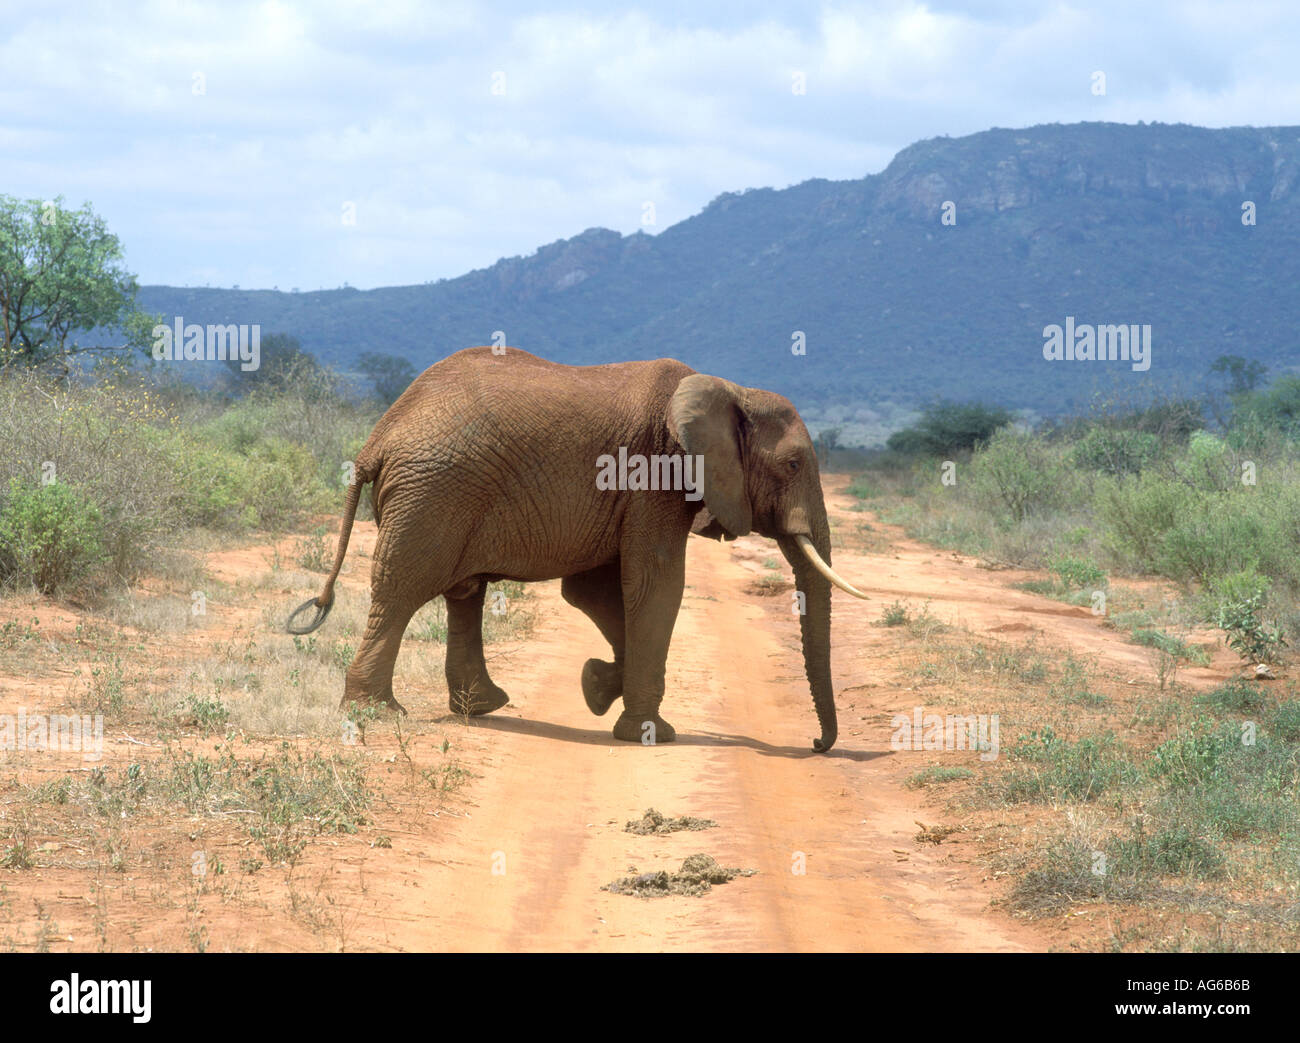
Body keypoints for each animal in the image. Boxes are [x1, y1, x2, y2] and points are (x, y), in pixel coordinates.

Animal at [286, 346, 869, 751]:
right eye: (792, 464)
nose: (816, 744)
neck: (730, 388)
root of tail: (376, 438)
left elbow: (596, 593)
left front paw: (597, 686)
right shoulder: (652, 474)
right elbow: (655, 585)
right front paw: (649, 734)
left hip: (443, 492)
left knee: (463, 593)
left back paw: (482, 707)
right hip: (433, 492)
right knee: (403, 591)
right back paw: (380, 713)